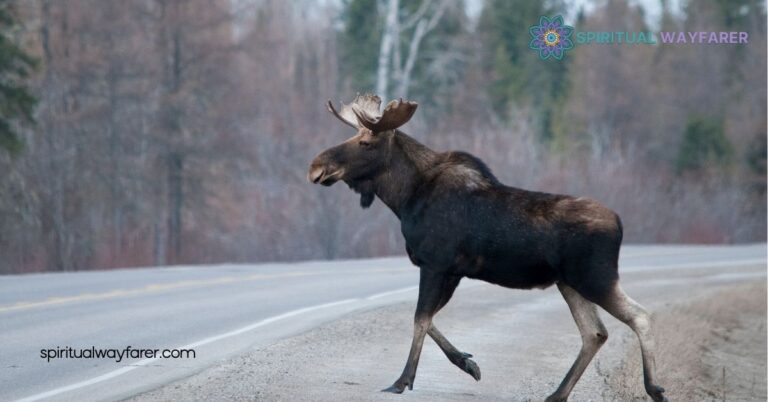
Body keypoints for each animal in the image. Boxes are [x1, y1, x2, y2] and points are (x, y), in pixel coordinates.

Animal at [307, 94, 667, 402]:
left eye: (365, 142)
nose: (316, 167)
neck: (405, 198)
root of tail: (619, 224)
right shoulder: (452, 271)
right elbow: (429, 318)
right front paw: (468, 363)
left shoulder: (436, 263)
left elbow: (420, 318)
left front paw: (402, 380)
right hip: (569, 283)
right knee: (595, 333)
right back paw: (557, 393)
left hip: (595, 277)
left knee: (639, 316)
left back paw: (654, 388)